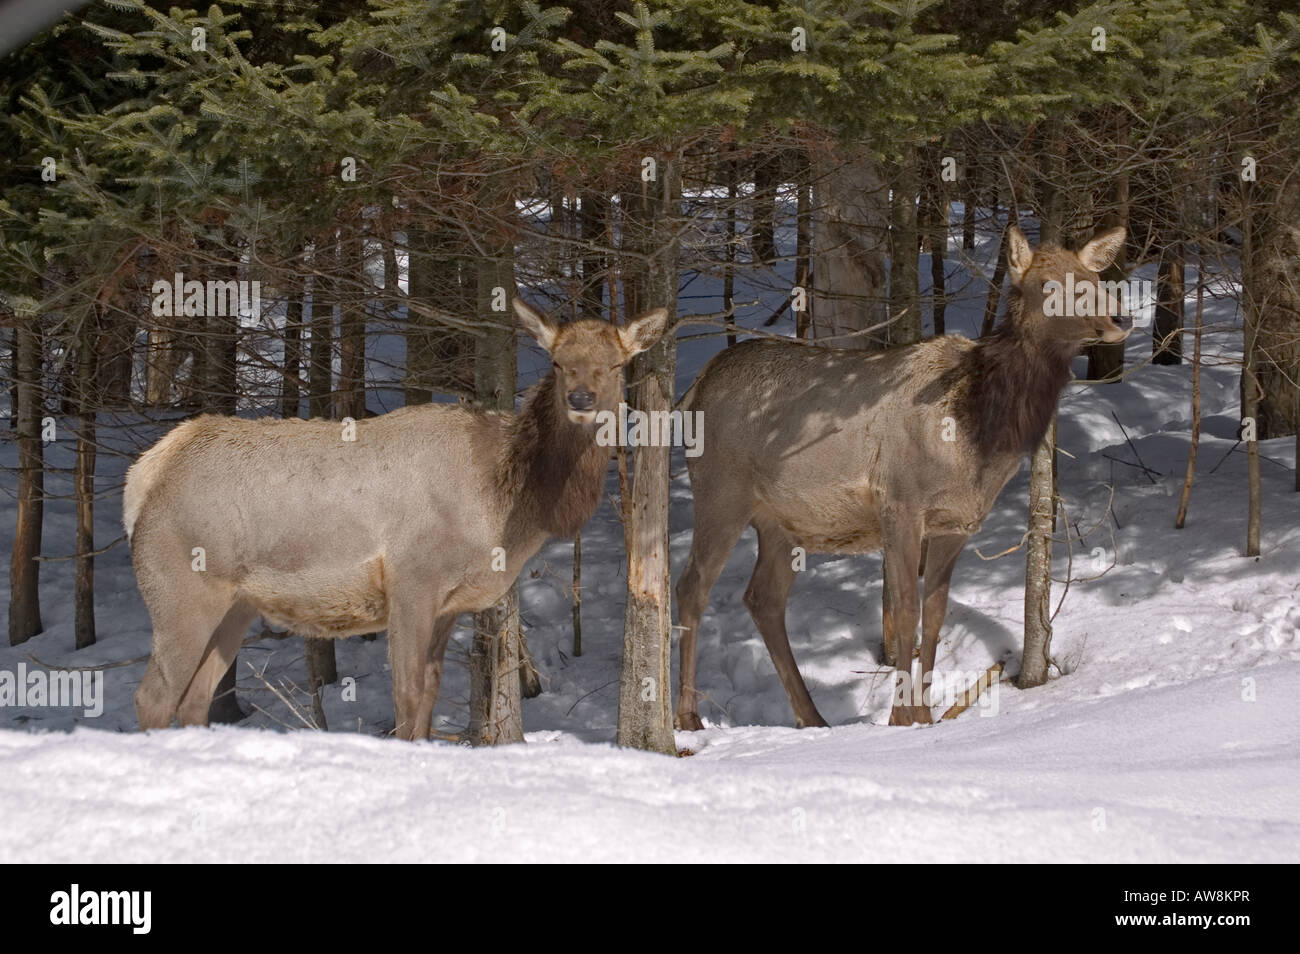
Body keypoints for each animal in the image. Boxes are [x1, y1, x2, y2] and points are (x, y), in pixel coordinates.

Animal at [124, 296, 667, 740]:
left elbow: (429, 695)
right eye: (557, 362)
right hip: (179, 589)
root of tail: (144, 476)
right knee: (153, 696)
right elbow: (406, 697)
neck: (506, 509)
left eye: (615, 364)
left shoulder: (449, 604)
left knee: (194, 699)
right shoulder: (412, 582)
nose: (581, 399)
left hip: (235, 605)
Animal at [673, 226, 1130, 730]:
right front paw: (901, 717)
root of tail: (694, 389)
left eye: (1095, 278)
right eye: (1048, 285)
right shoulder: (900, 504)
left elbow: (935, 612)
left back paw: (811, 716)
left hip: (781, 522)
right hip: (721, 492)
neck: (976, 434)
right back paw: (687, 719)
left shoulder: (956, 523)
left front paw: (926, 716)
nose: (1118, 318)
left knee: (763, 598)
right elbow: (905, 608)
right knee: (691, 586)